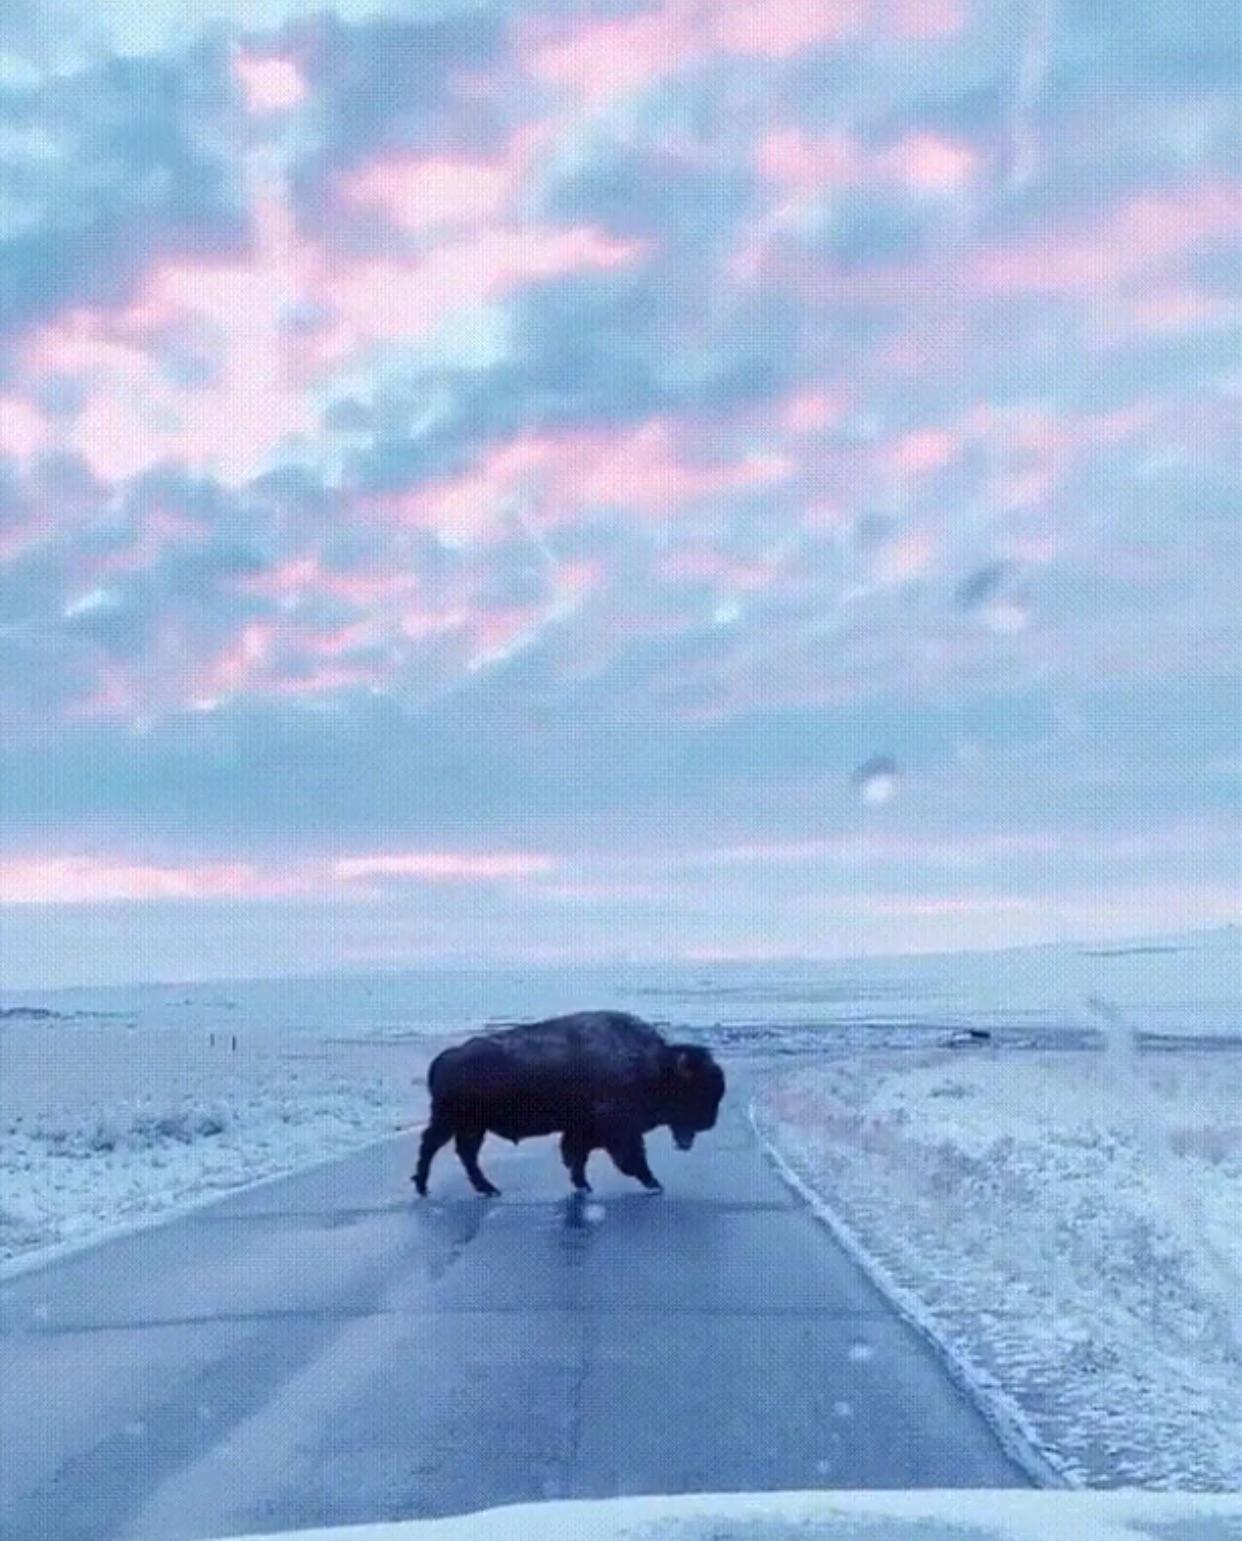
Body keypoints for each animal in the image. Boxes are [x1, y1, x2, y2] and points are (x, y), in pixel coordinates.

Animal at [412, 1010, 726, 1196]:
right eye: (696, 1091)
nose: (709, 1123)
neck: (651, 1065)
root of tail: (444, 1058)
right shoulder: (617, 1131)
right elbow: (627, 1157)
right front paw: (653, 1183)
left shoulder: (583, 1130)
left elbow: (576, 1155)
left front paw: (582, 1185)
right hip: (452, 1121)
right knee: (434, 1147)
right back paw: (425, 1186)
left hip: (471, 1126)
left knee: (464, 1153)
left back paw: (486, 1189)